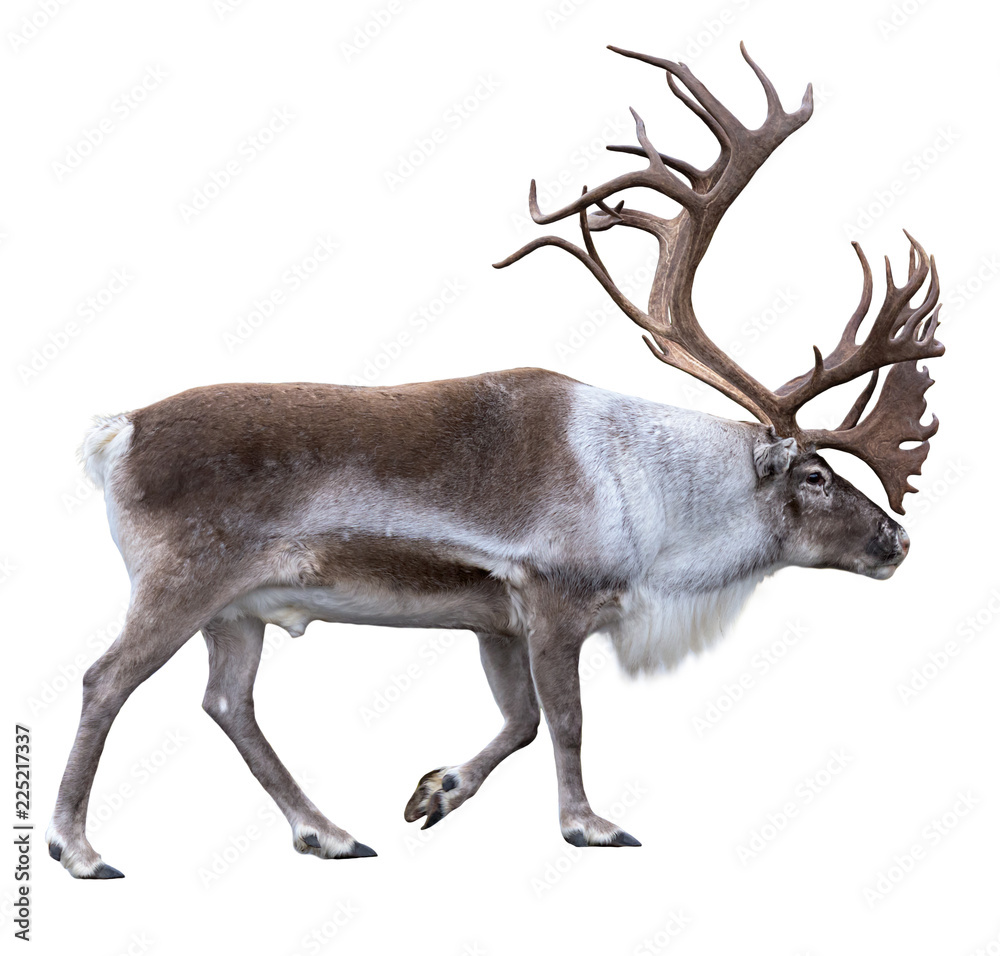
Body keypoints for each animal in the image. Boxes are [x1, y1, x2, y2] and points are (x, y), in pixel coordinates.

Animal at [48, 43, 943, 879]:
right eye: (816, 476)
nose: (897, 539)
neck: (655, 501)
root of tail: (119, 431)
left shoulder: (493, 618)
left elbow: (521, 721)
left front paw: (435, 791)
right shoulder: (553, 598)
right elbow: (568, 721)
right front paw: (588, 825)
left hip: (238, 609)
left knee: (228, 703)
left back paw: (329, 833)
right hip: (180, 583)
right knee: (106, 680)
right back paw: (79, 848)